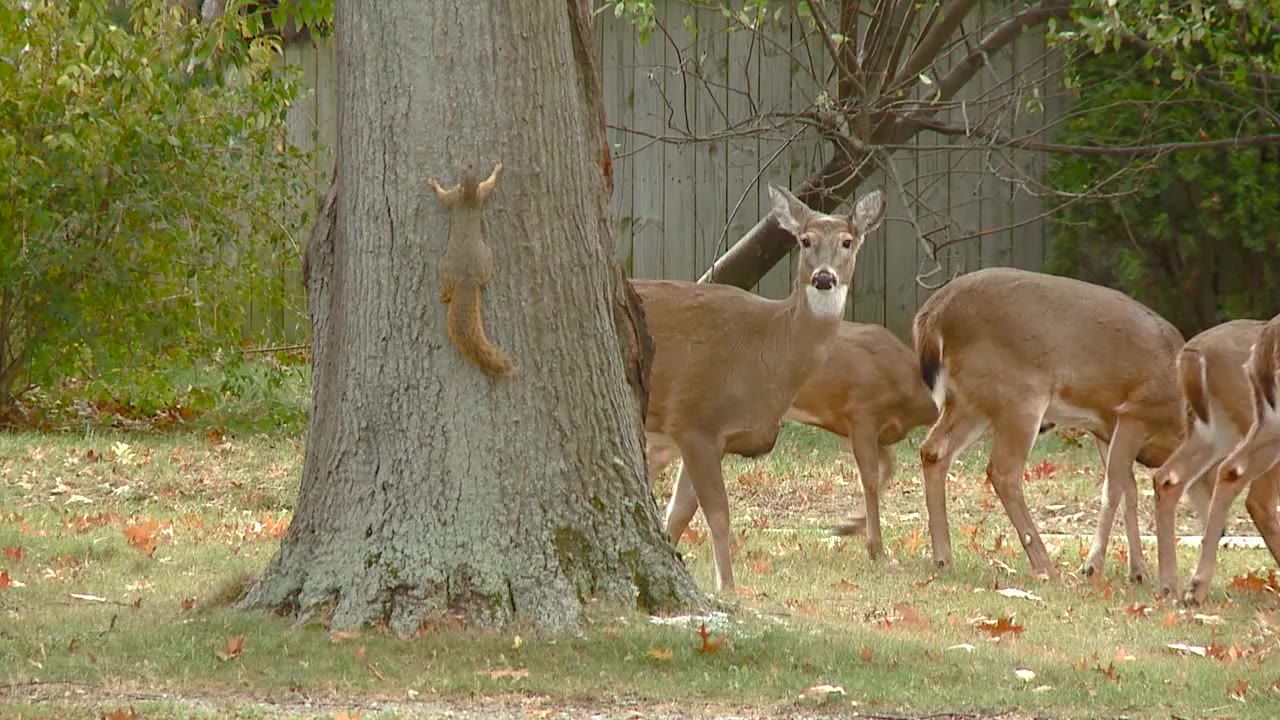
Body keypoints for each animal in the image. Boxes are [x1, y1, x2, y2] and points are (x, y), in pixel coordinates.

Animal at [634, 185, 886, 593]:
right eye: (805, 240)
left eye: (848, 241)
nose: (824, 278)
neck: (767, 350)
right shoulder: (693, 418)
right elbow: (717, 515)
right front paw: (728, 591)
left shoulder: (712, 437)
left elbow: (679, 514)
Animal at [649, 321, 940, 562]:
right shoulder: (861, 413)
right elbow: (868, 477)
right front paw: (874, 547)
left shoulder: (851, 427)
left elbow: (888, 466)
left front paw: (849, 525)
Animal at [911, 266, 1213, 582]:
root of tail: (931, 318)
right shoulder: (1135, 413)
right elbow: (1113, 489)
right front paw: (1093, 566)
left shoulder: (1106, 427)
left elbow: (1127, 490)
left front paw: (1138, 571)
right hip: (1020, 396)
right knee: (1004, 471)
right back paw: (1045, 566)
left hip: (969, 402)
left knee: (933, 451)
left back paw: (944, 559)